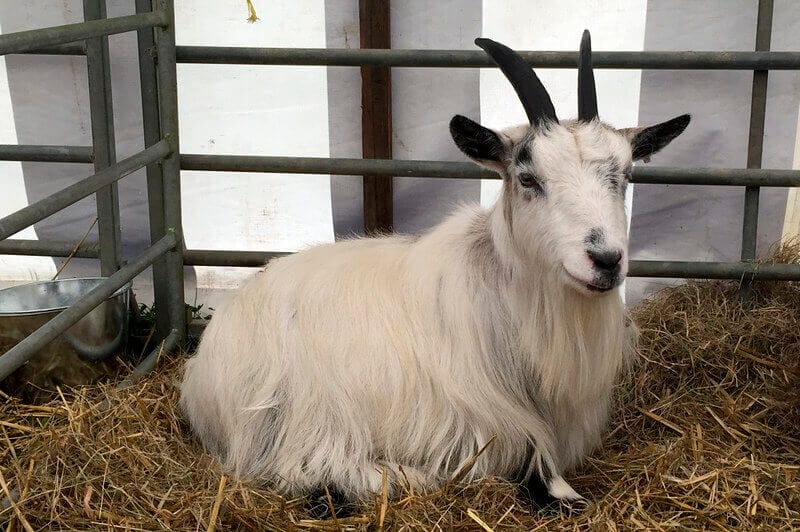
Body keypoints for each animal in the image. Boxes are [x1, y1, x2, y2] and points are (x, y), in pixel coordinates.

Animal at [180, 31, 690, 507]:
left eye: (626, 175)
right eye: (528, 178)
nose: (606, 260)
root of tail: (201, 366)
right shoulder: (481, 427)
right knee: (305, 468)